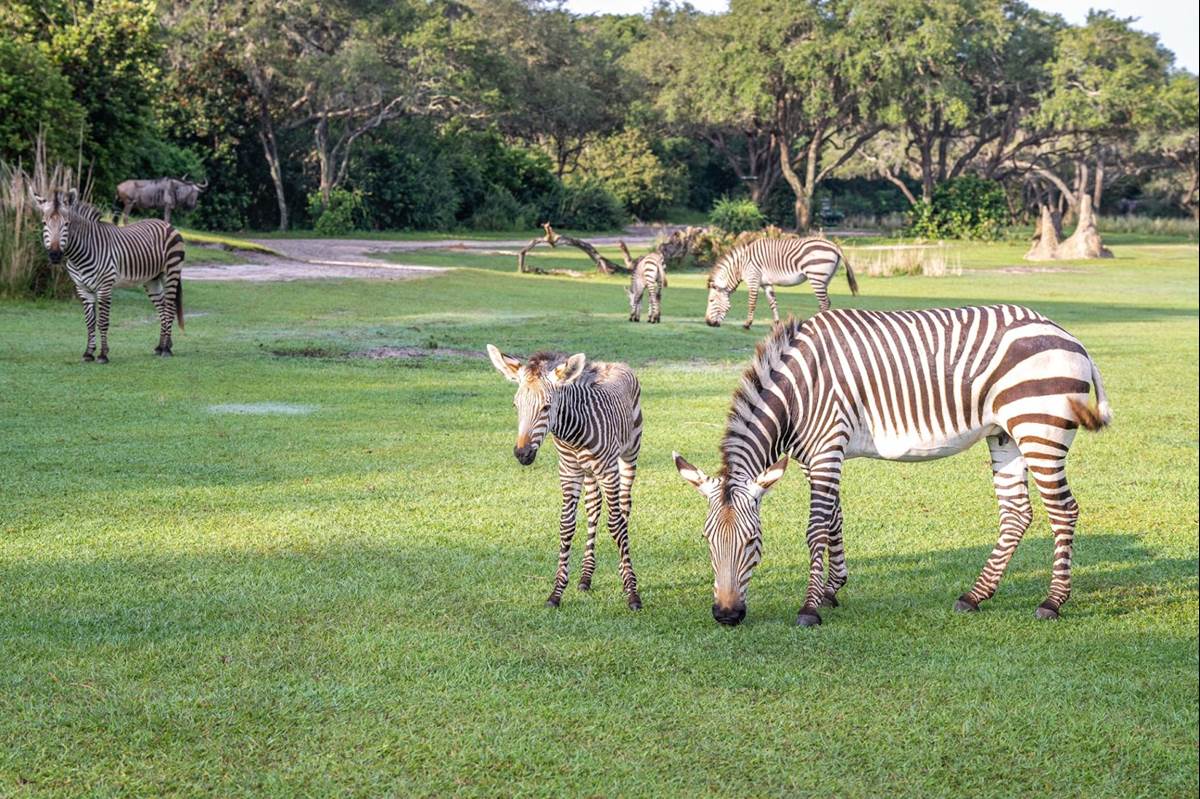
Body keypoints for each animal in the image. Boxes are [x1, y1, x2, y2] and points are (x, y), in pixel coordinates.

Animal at [31, 189, 185, 362]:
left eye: (67, 224)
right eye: (44, 223)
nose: (55, 255)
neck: (80, 254)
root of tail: (166, 223)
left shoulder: (104, 287)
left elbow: (103, 322)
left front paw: (103, 354)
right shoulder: (83, 289)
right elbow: (90, 322)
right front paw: (88, 353)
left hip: (171, 272)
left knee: (170, 309)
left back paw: (166, 349)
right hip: (152, 280)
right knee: (163, 309)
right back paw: (161, 346)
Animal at [487, 345, 643, 610]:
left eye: (546, 407)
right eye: (516, 405)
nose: (522, 454)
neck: (573, 436)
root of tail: (613, 364)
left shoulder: (608, 472)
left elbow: (616, 525)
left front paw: (632, 592)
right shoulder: (569, 473)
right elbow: (566, 525)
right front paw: (557, 592)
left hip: (628, 457)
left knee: (623, 511)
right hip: (588, 473)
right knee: (593, 509)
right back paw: (586, 577)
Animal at [673, 305, 1111, 627]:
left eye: (752, 541)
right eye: (706, 540)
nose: (726, 616)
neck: (797, 393)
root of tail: (1070, 337)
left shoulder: (826, 447)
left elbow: (816, 529)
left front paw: (810, 607)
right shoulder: (817, 457)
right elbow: (835, 520)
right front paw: (832, 590)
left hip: (1039, 430)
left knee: (1064, 511)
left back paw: (1052, 602)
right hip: (1005, 435)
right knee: (1017, 514)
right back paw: (975, 596)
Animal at [704, 237, 858, 328]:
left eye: (711, 300)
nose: (708, 323)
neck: (740, 266)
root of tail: (834, 245)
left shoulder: (753, 279)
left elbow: (752, 303)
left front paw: (747, 324)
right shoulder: (765, 284)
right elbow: (772, 303)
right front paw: (777, 323)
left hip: (816, 277)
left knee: (824, 302)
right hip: (825, 278)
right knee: (826, 302)